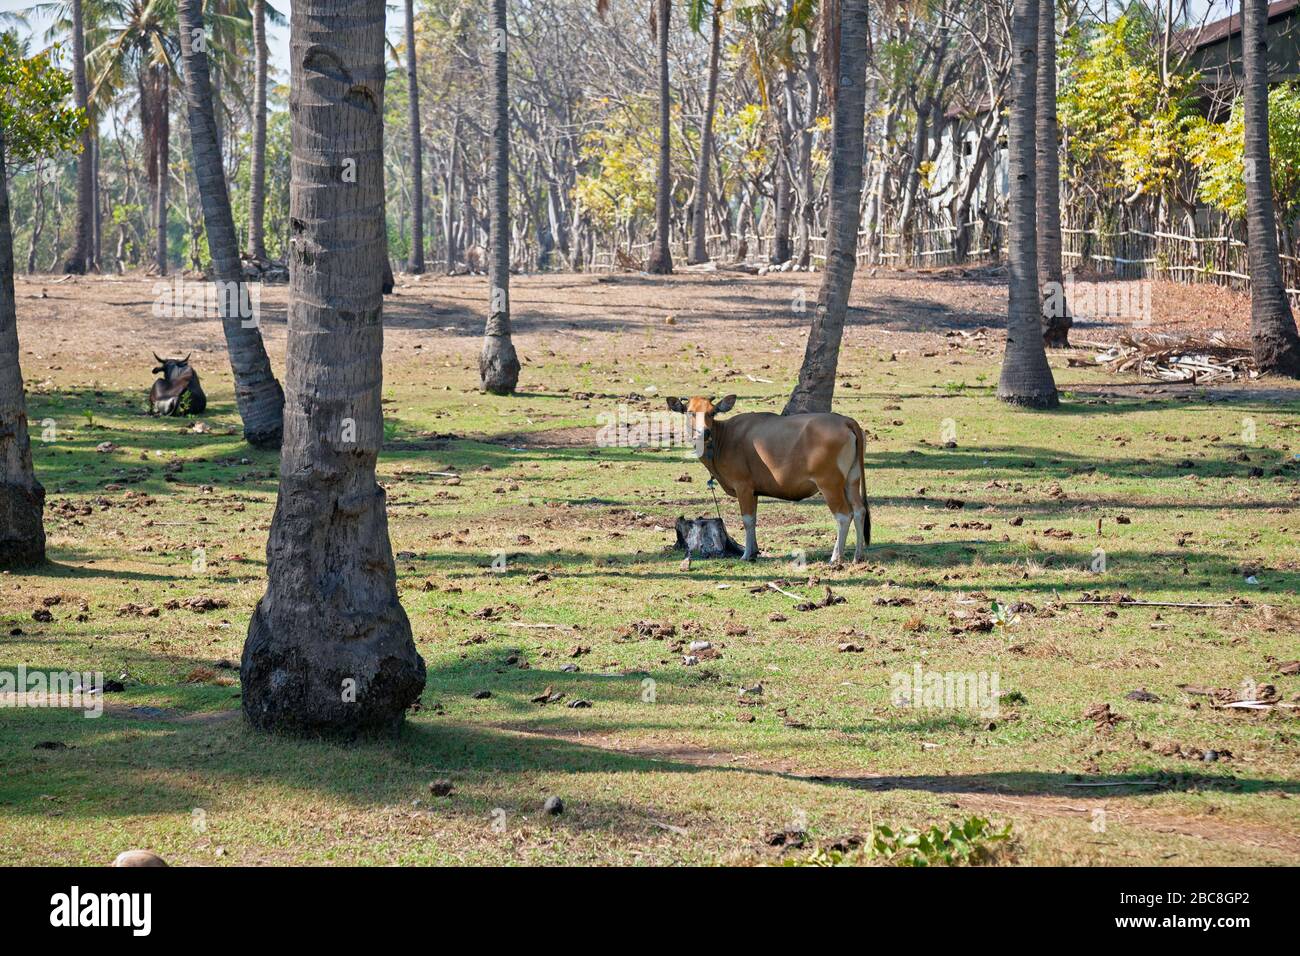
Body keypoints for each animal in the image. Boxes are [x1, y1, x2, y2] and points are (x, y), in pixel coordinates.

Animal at [667, 395, 870, 564]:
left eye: (712, 412)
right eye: (690, 412)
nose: (704, 432)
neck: (724, 438)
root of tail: (846, 421)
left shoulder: (743, 487)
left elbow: (747, 520)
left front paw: (746, 555)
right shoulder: (754, 491)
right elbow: (754, 519)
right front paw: (755, 551)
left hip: (829, 484)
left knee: (844, 515)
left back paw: (835, 557)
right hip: (852, 480)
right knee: (859, 511)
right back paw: (858, 556)